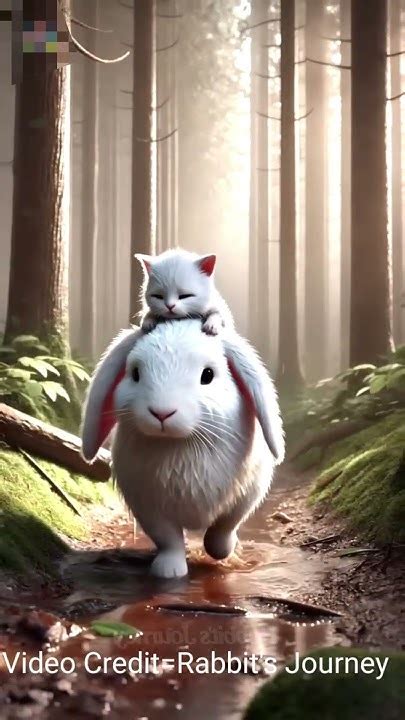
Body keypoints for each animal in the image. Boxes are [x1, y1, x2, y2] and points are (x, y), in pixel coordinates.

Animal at [81, 319, 285, 579]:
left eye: (208, 375)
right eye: (135, 374)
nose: (162, 413)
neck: (180, 443)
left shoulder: (245, 497)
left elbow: (223, 529)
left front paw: (223, 552)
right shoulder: (149, 508)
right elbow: (169, 540)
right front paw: (169, 571)